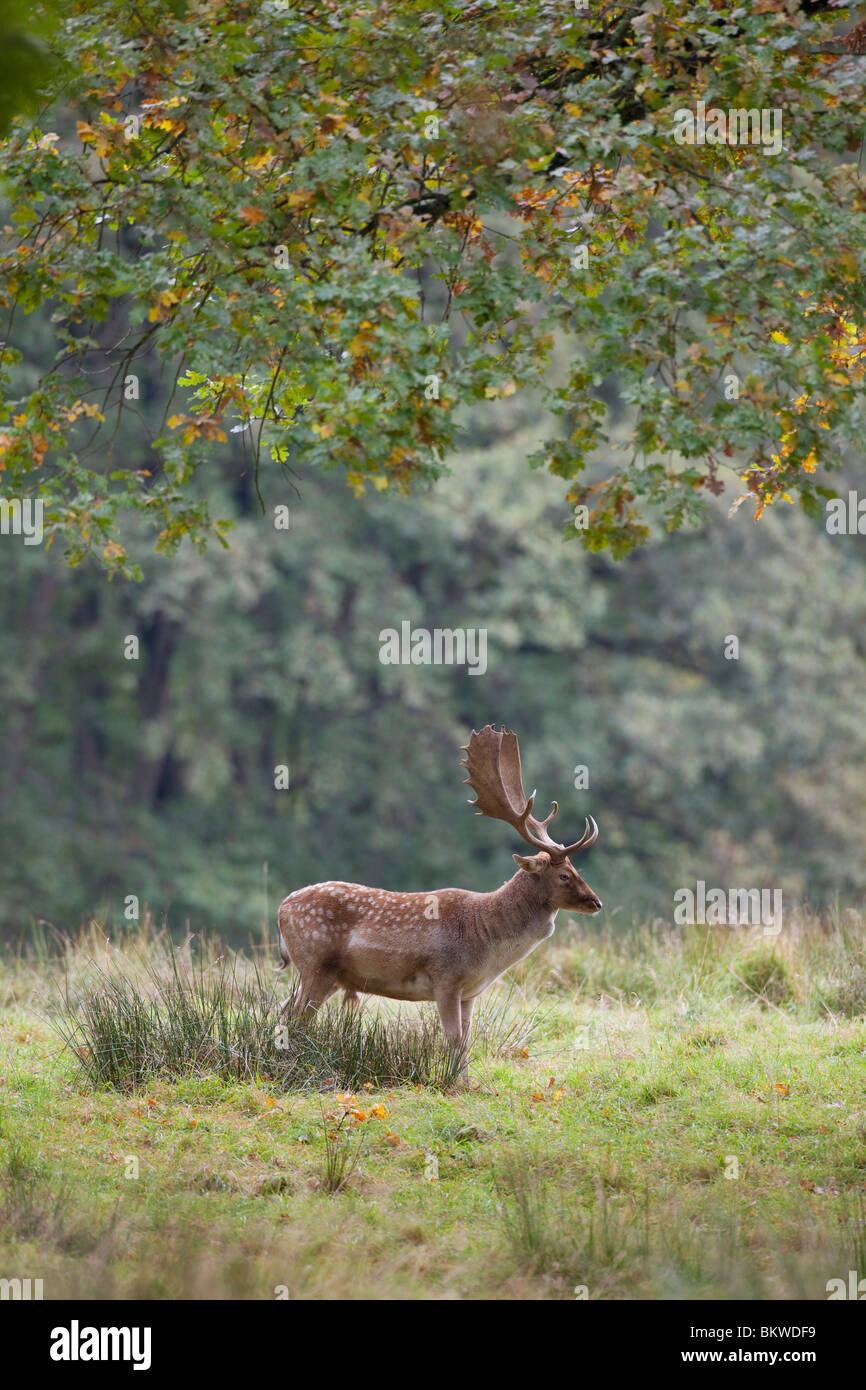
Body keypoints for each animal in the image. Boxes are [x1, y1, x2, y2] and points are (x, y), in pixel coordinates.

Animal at [277, 724, 602, 1079]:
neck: (485, 938)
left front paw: (467, 1080)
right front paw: (453, 1081)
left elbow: (468, 1039)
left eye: (576, 869)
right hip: (315, 963)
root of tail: (281, 908)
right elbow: (455, 1038)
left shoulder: (470, 991)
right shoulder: (446, 979)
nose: (596, 902)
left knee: (283, 1010)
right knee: (297, 1017)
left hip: (330, 975)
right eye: (564, 876)